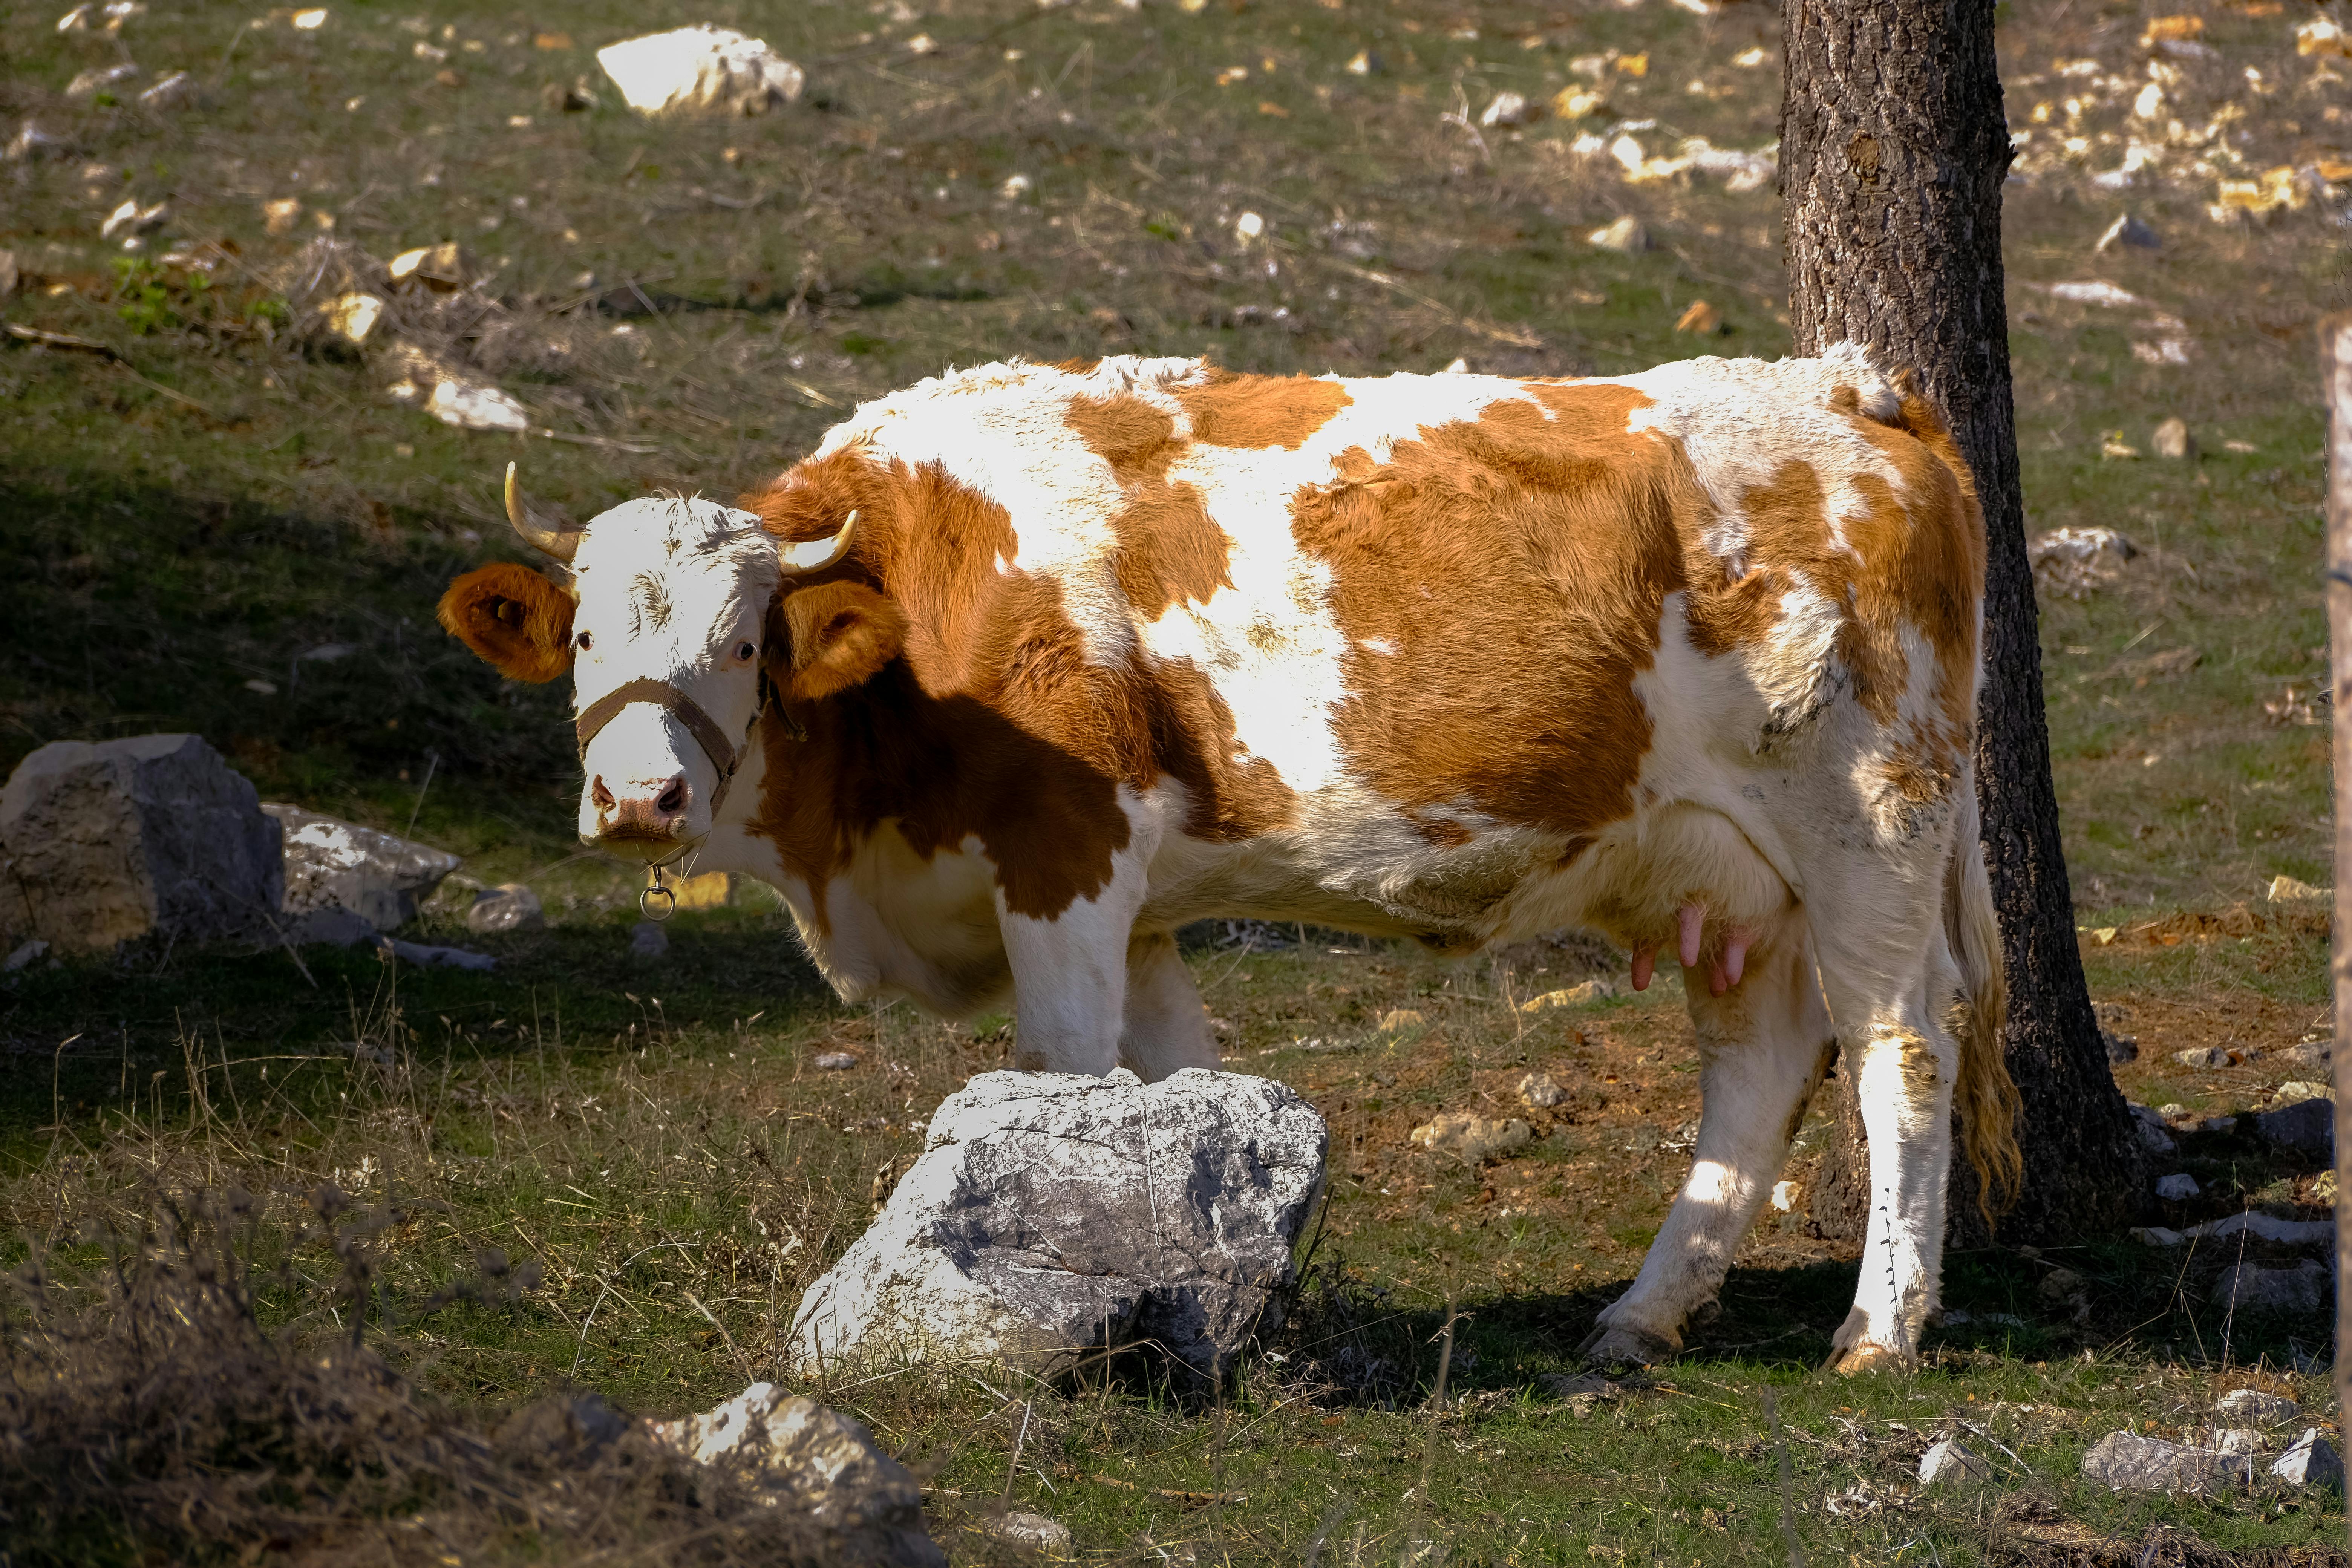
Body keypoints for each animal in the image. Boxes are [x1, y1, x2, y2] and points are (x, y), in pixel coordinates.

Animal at [438, 348, 2021, 1374]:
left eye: (743, 644)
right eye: (586, 637)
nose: (638, 797)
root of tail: (1851, 388)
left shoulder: (1065, 862)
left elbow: (1060, 1084)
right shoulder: (1133, 915)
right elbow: (1171, 1094)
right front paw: (1210, 1286)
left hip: (1872, 823)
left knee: (1901, 1045)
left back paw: (1877, 1330)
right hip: (1726, 870)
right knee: (1760, 1065)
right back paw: (1641, 1316)